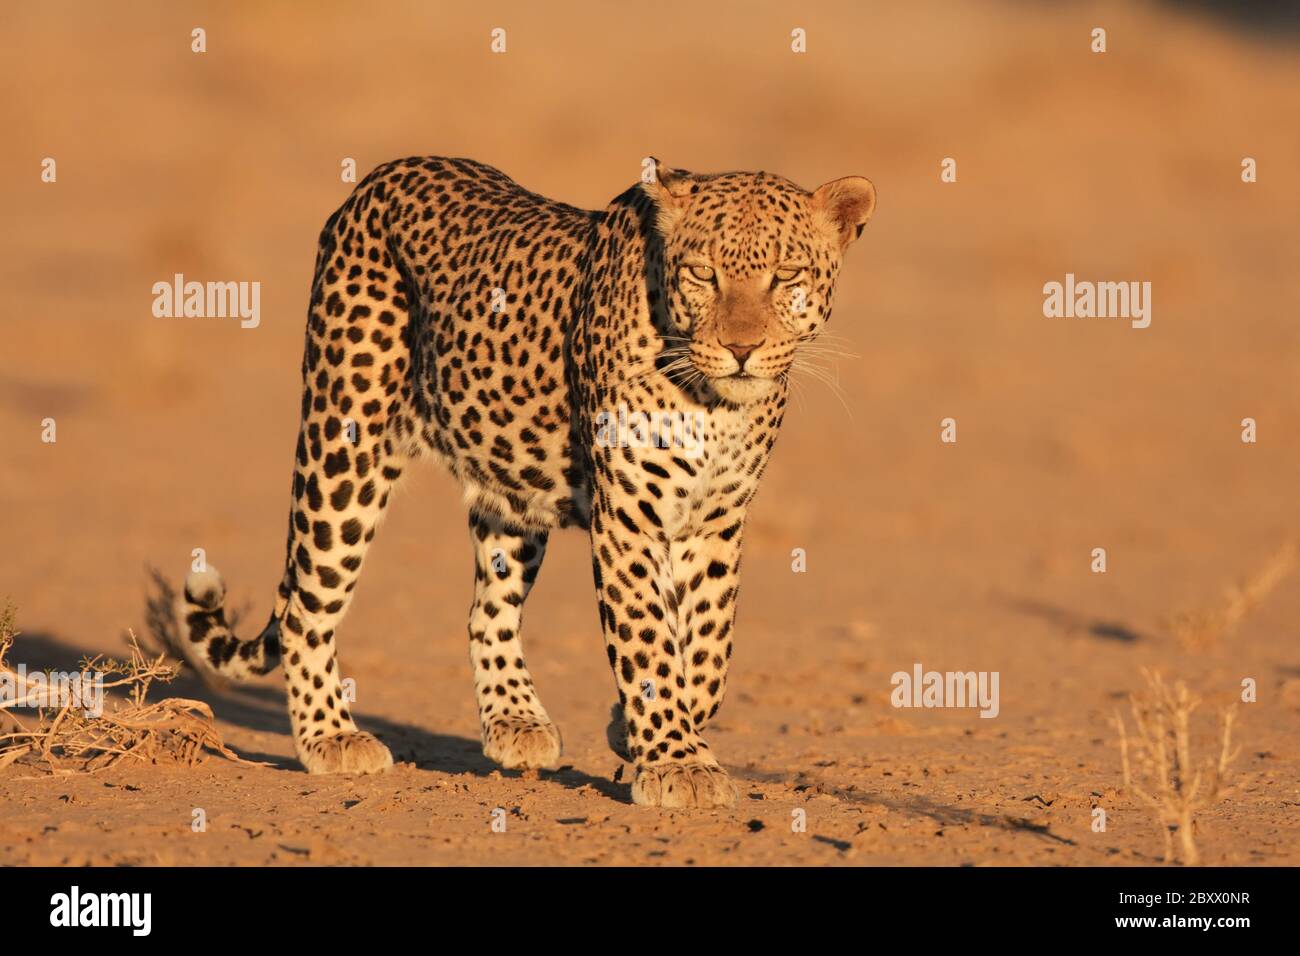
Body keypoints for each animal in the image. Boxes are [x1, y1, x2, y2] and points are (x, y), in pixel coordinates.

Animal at [166, 155, 875, 808]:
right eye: (704, 274)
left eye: (786, 277)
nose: (741, 349)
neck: (716, 405)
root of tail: (376, 178)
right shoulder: (630, 518)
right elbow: (648, 637)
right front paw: (676, 761)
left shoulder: (715, 520)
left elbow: (709, 649)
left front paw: (640, 733)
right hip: (344, 447)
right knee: (307, 606)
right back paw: (330, 736)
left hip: (509, 485)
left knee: (487, 609)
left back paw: (515, 719)